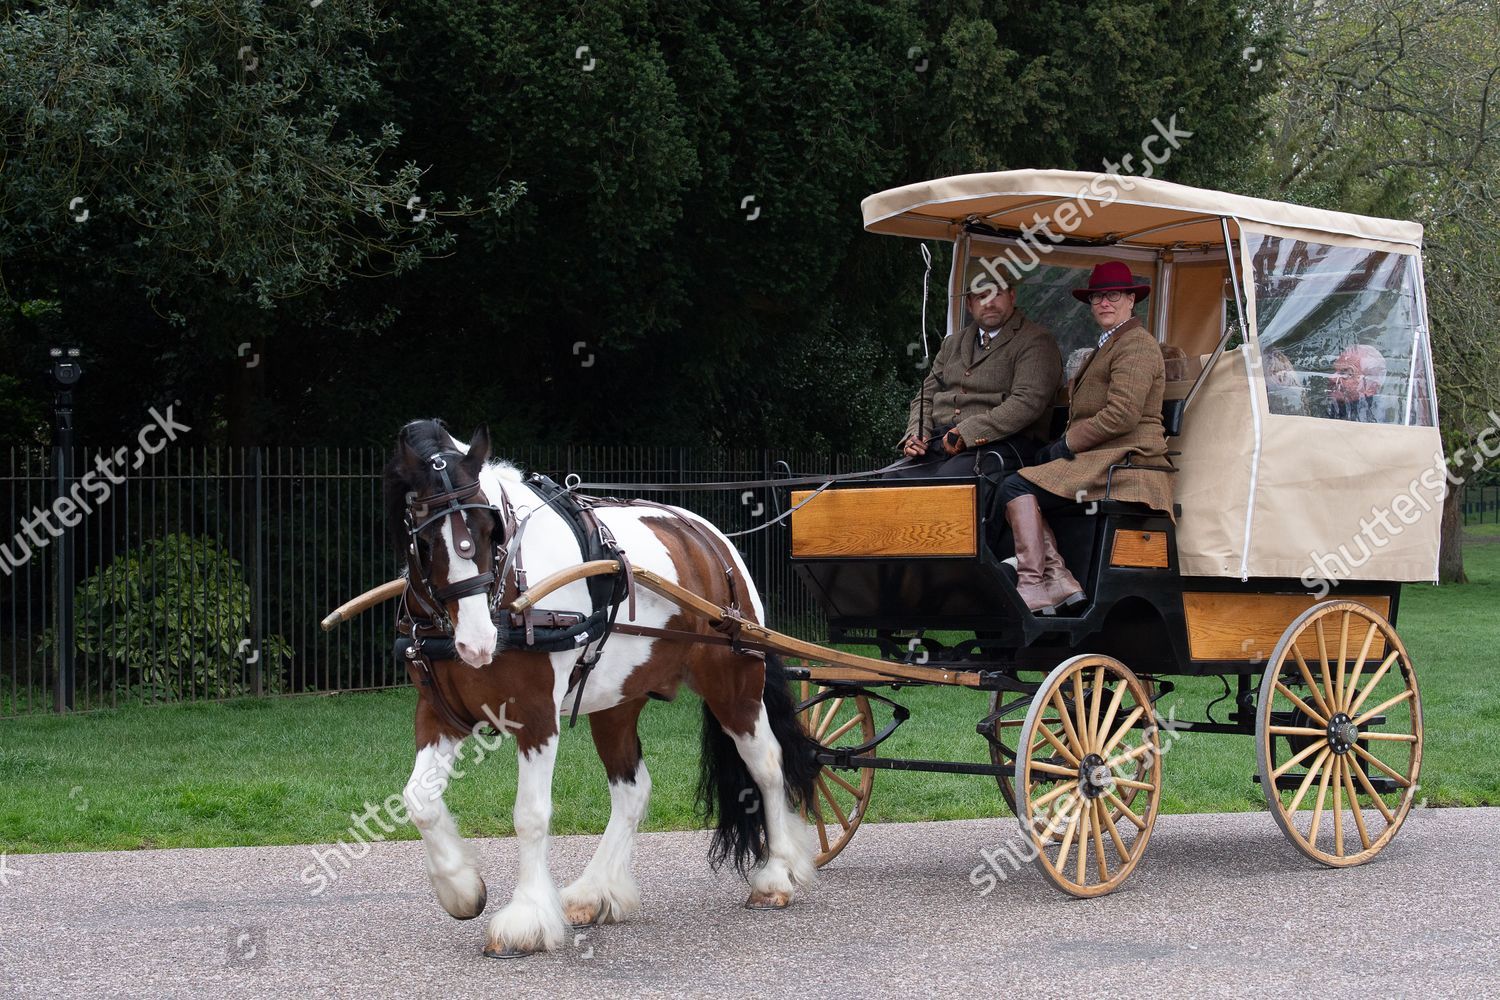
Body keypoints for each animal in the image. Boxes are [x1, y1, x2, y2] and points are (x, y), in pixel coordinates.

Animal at [382, 418, 820, 958]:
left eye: (490, 531)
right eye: (424, 540)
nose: (477, 643)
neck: (514, 592)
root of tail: (711, 539)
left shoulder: (536, 716)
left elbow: (530, 815)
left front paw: (525, 919)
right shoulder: (440, 713)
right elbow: (417, 800)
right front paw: (460, 888)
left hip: (734, 685)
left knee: (768, 766)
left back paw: (777, 875)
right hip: (617, 701)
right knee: (633, 790)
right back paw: (597, 892)